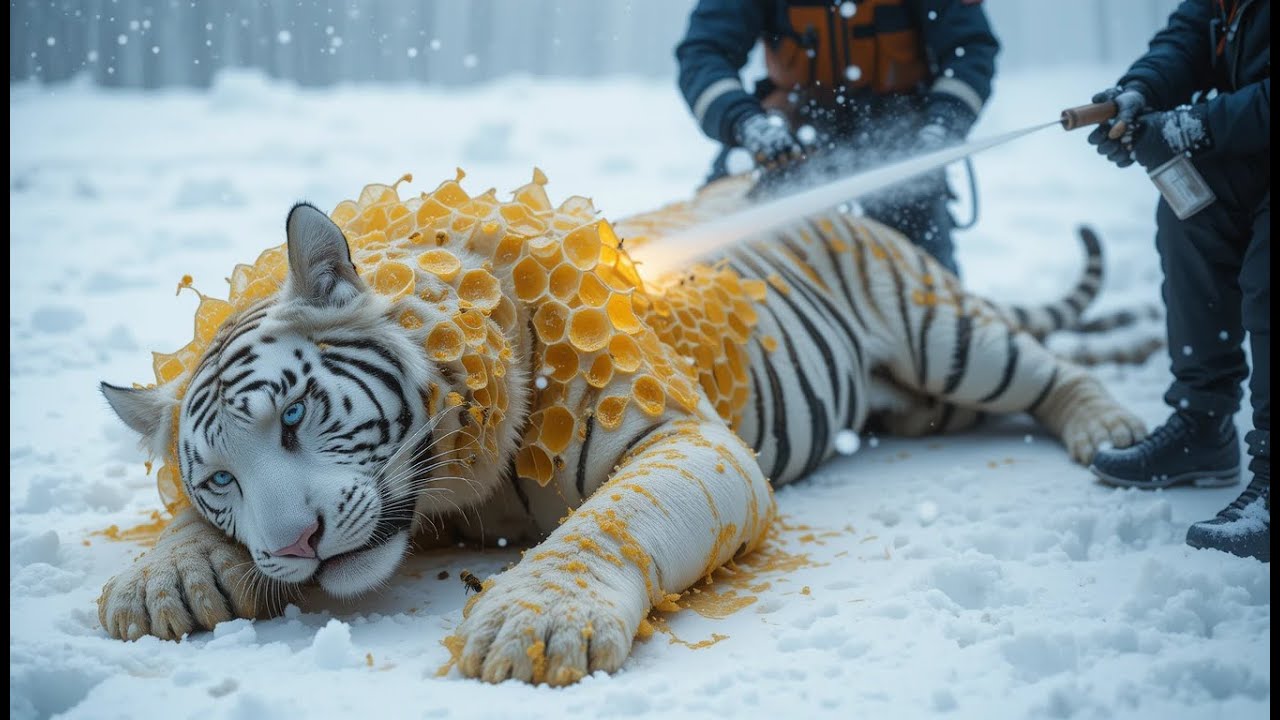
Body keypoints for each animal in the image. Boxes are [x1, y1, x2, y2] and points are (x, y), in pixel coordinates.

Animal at [97, 169, 1145, 685]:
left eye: (296, 416)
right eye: (219, 481)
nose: (297, 547)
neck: (459, 486)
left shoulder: (685, 439)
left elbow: (612, 521)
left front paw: (536, 621)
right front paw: (170, 576)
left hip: (946, 335)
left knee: (1053, 371)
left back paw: (1113, 431)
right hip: (926, 389)